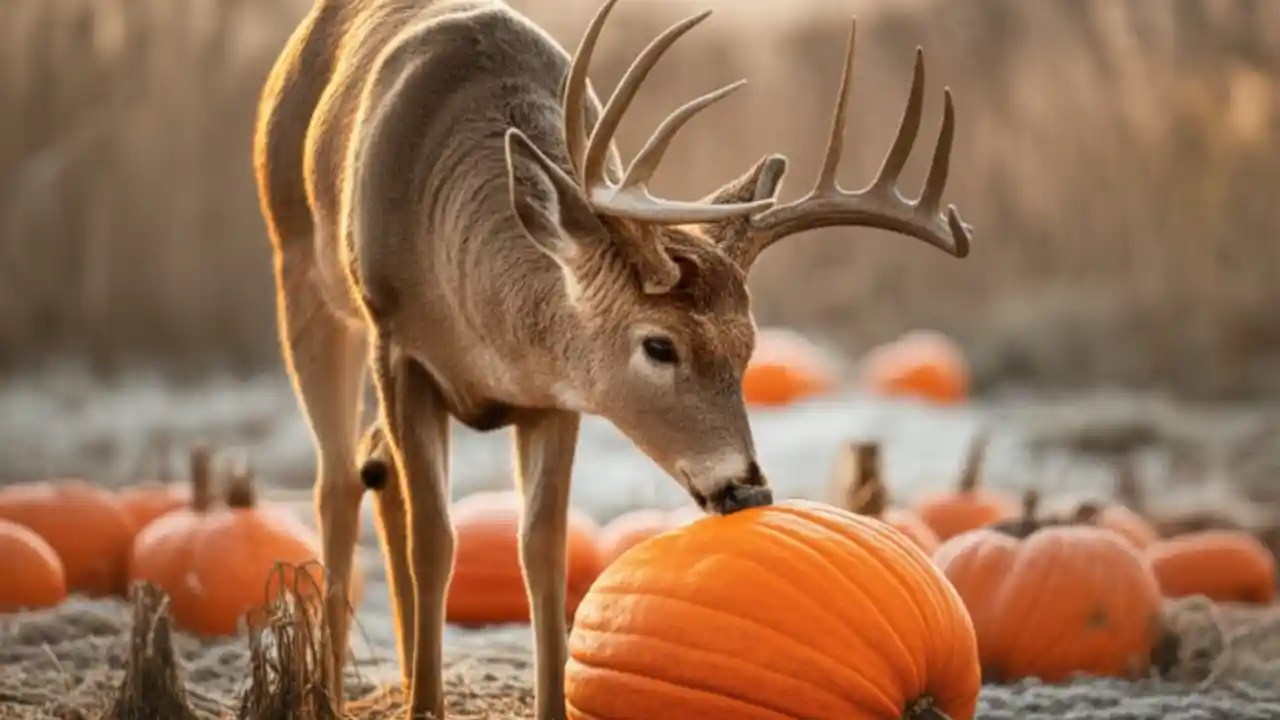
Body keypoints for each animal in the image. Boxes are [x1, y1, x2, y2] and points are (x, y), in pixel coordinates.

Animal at [253, 0, 971, 717]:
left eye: (749, 345)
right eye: (658, 345)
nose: (747, 488)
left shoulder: (557, 388)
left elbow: (543, 548)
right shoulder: (398, 346)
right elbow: (436, 538)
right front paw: (427, 707)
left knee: (374, 461)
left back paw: (399, 675)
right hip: (301, 272)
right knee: (337, 481)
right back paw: (328, 692)